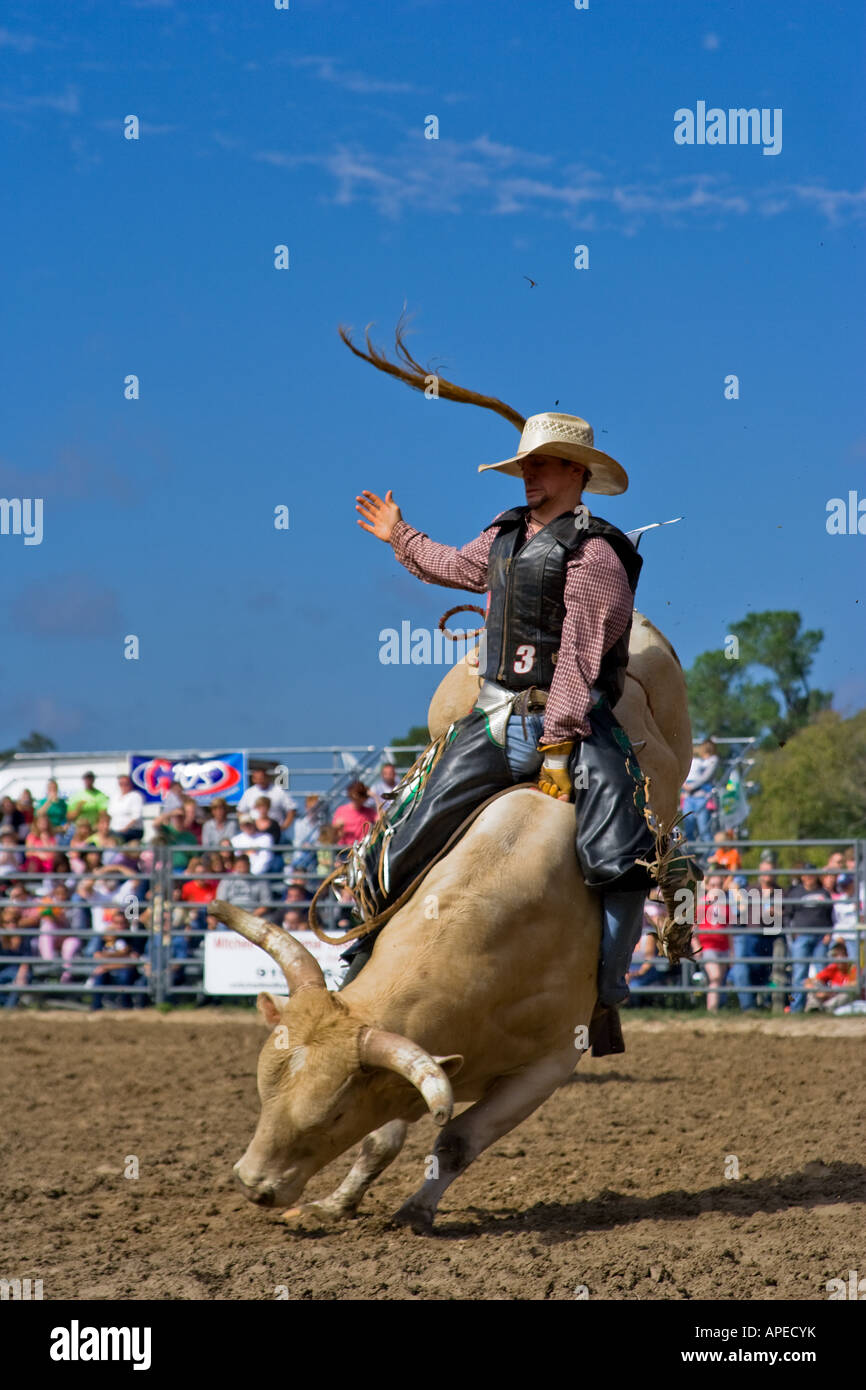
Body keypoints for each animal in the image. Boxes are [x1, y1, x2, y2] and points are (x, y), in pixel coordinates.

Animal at [216, 611, 691, 1231]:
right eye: (264, 1087)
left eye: (332, 1115)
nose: (252, 1184)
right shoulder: (414, 1058)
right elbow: (383, 1140)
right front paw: (335, 1204)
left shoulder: (549, 1064)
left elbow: (458, 1141)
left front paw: (415, 1212)